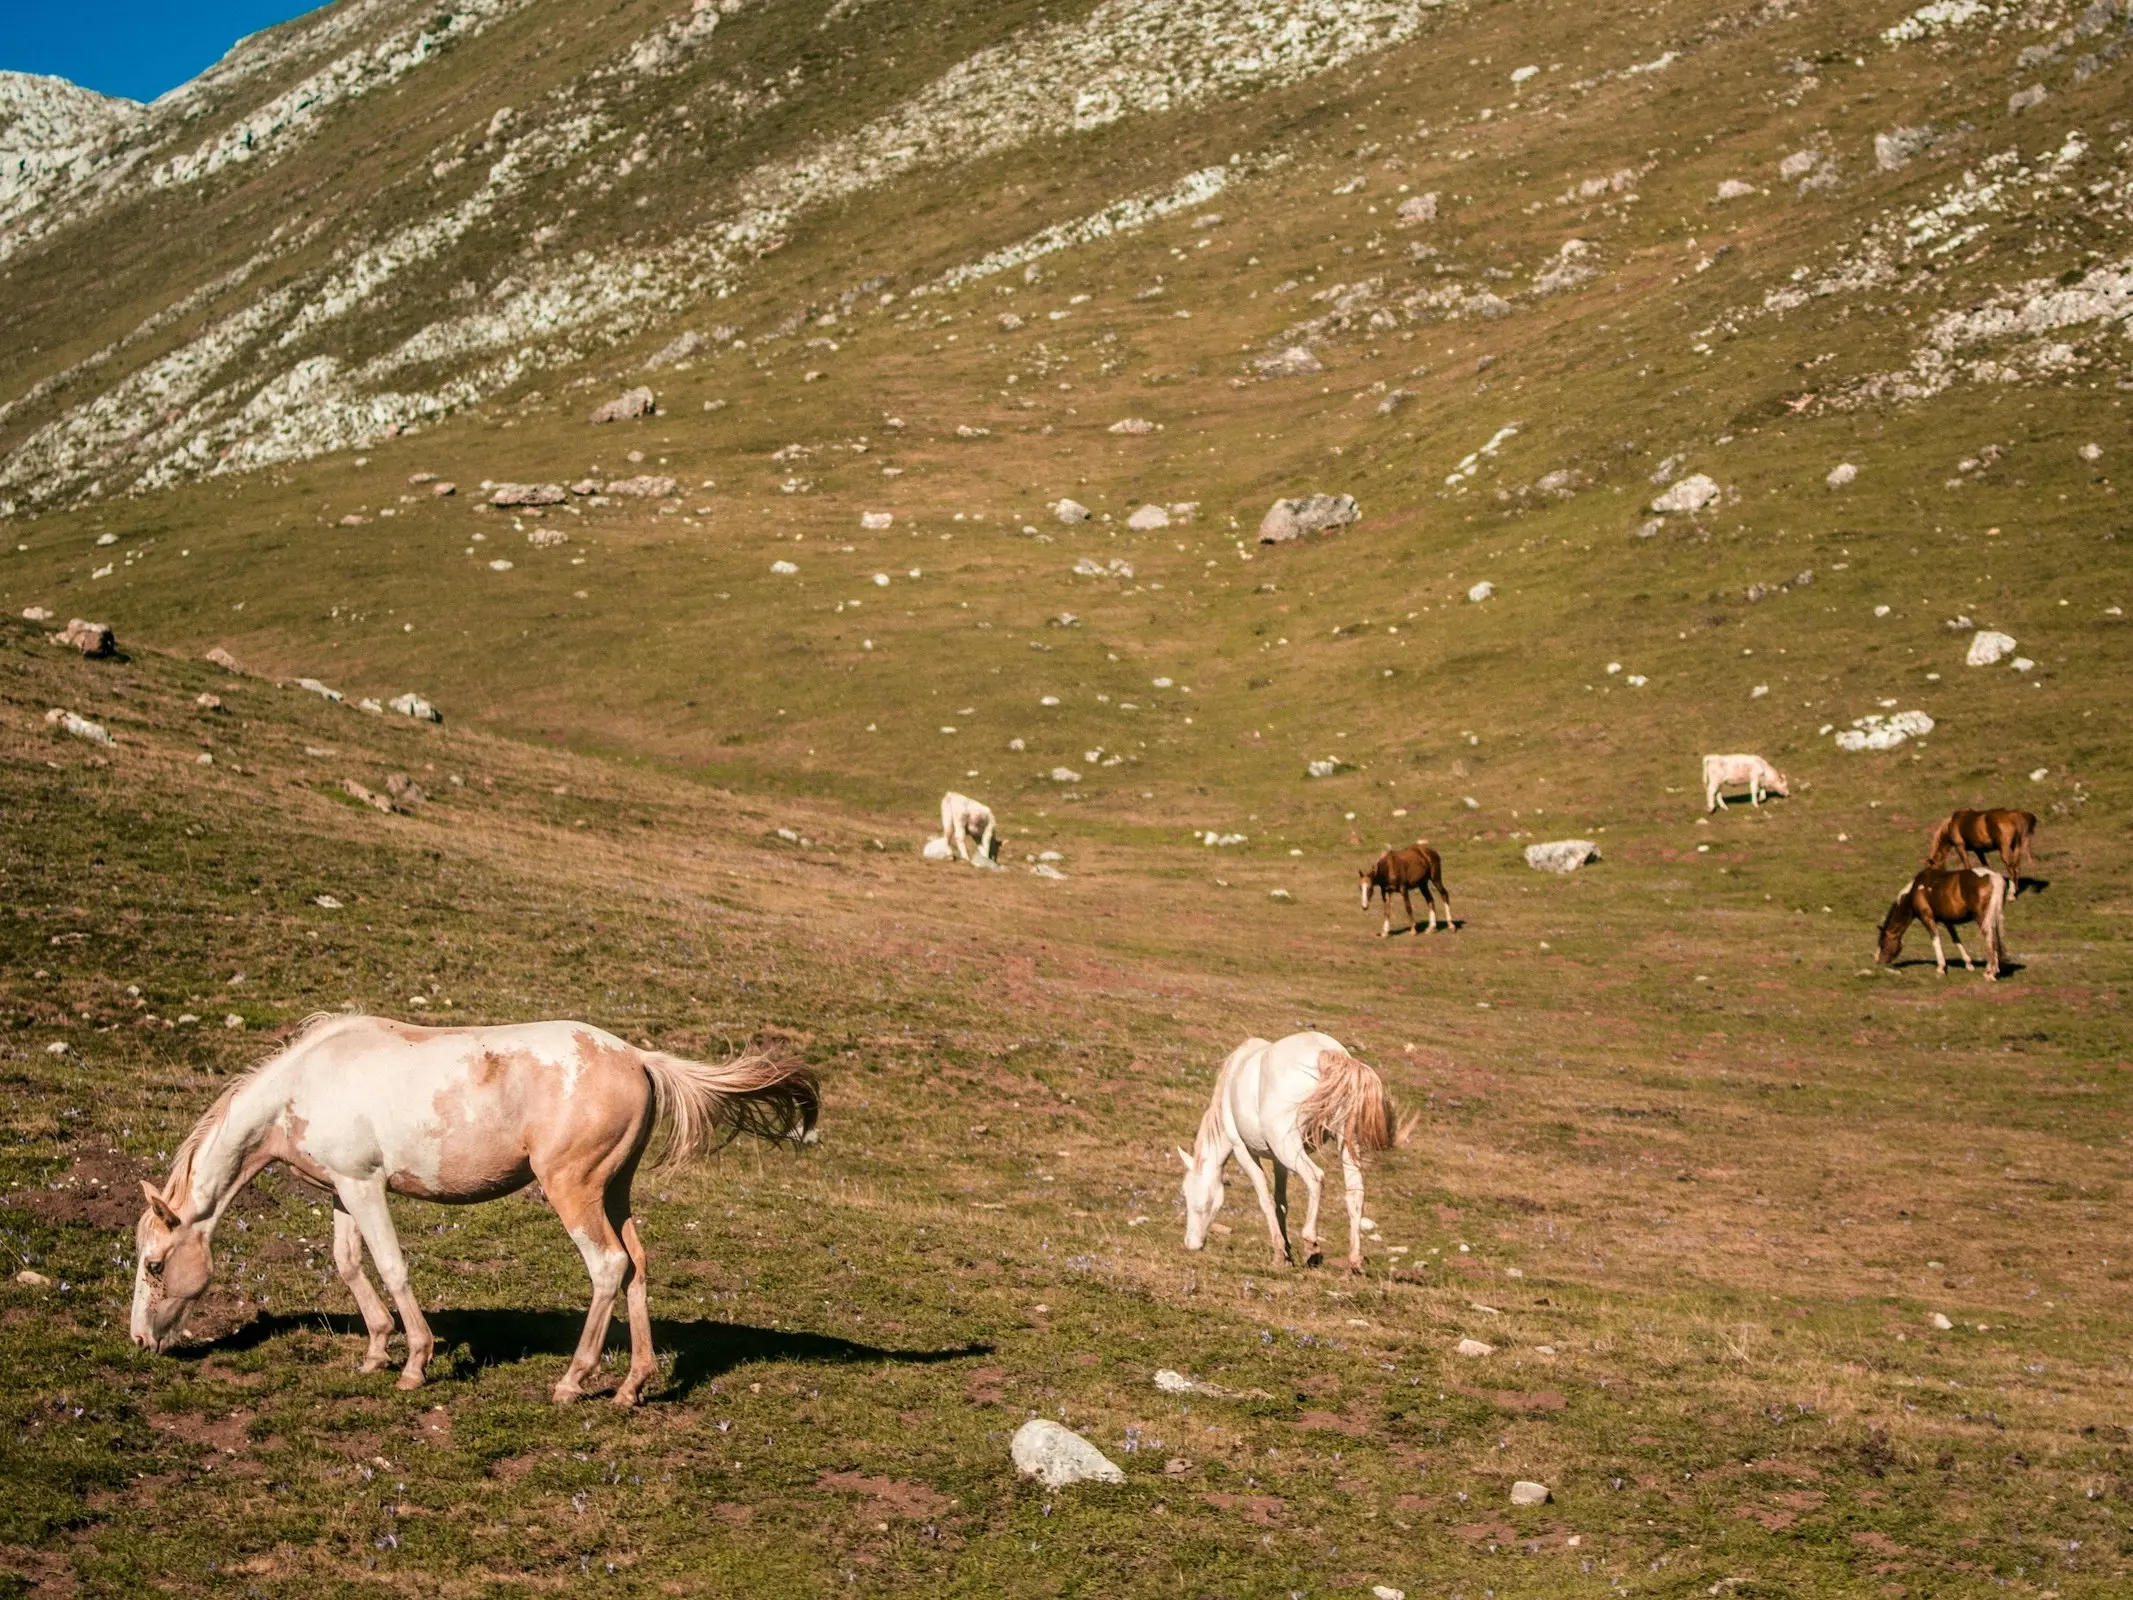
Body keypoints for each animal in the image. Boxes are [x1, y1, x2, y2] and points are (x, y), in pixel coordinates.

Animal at [130, 1014, 818, 1406]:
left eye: (155, 1265)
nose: (139, 1340)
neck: (304, 1085)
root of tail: (637, 1058)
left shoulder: (366, 1188)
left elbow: (391, 1266)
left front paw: (414, 1363)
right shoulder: (342, 1192)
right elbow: (349, 1264)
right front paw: (375, 1351)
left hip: (572, 1190)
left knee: (607, 1267)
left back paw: (573, 1382)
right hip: (614, 1190)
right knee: (638, 1267)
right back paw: (630, 1388)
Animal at [1176, 1032, 1406, 1271]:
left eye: (1188, 1193)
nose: (1190, 1244)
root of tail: (1327, 1053)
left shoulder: (1243, 1151)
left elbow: (1266, 1200)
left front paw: (1279, 1254)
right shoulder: (1278, 1160)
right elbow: (1281, 1202)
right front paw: (1287, 1252)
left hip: (1289, 1146)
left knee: (1315, 1178)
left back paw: (1311, 1243)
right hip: (1344, 1142)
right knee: (1355, 1192)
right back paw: (1354, 1260)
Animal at [1876, 867, 2010, 979]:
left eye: (1883, 944)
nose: (1879, 962)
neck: (1915, 890)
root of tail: (1993, 877)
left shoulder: (1927, 918)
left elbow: (1936, 940)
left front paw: (1940, 968)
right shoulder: (1947, 921)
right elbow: (1956, 940)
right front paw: (1968, 964)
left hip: (1982, 918)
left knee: (1990, 940)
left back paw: (1989, 972)